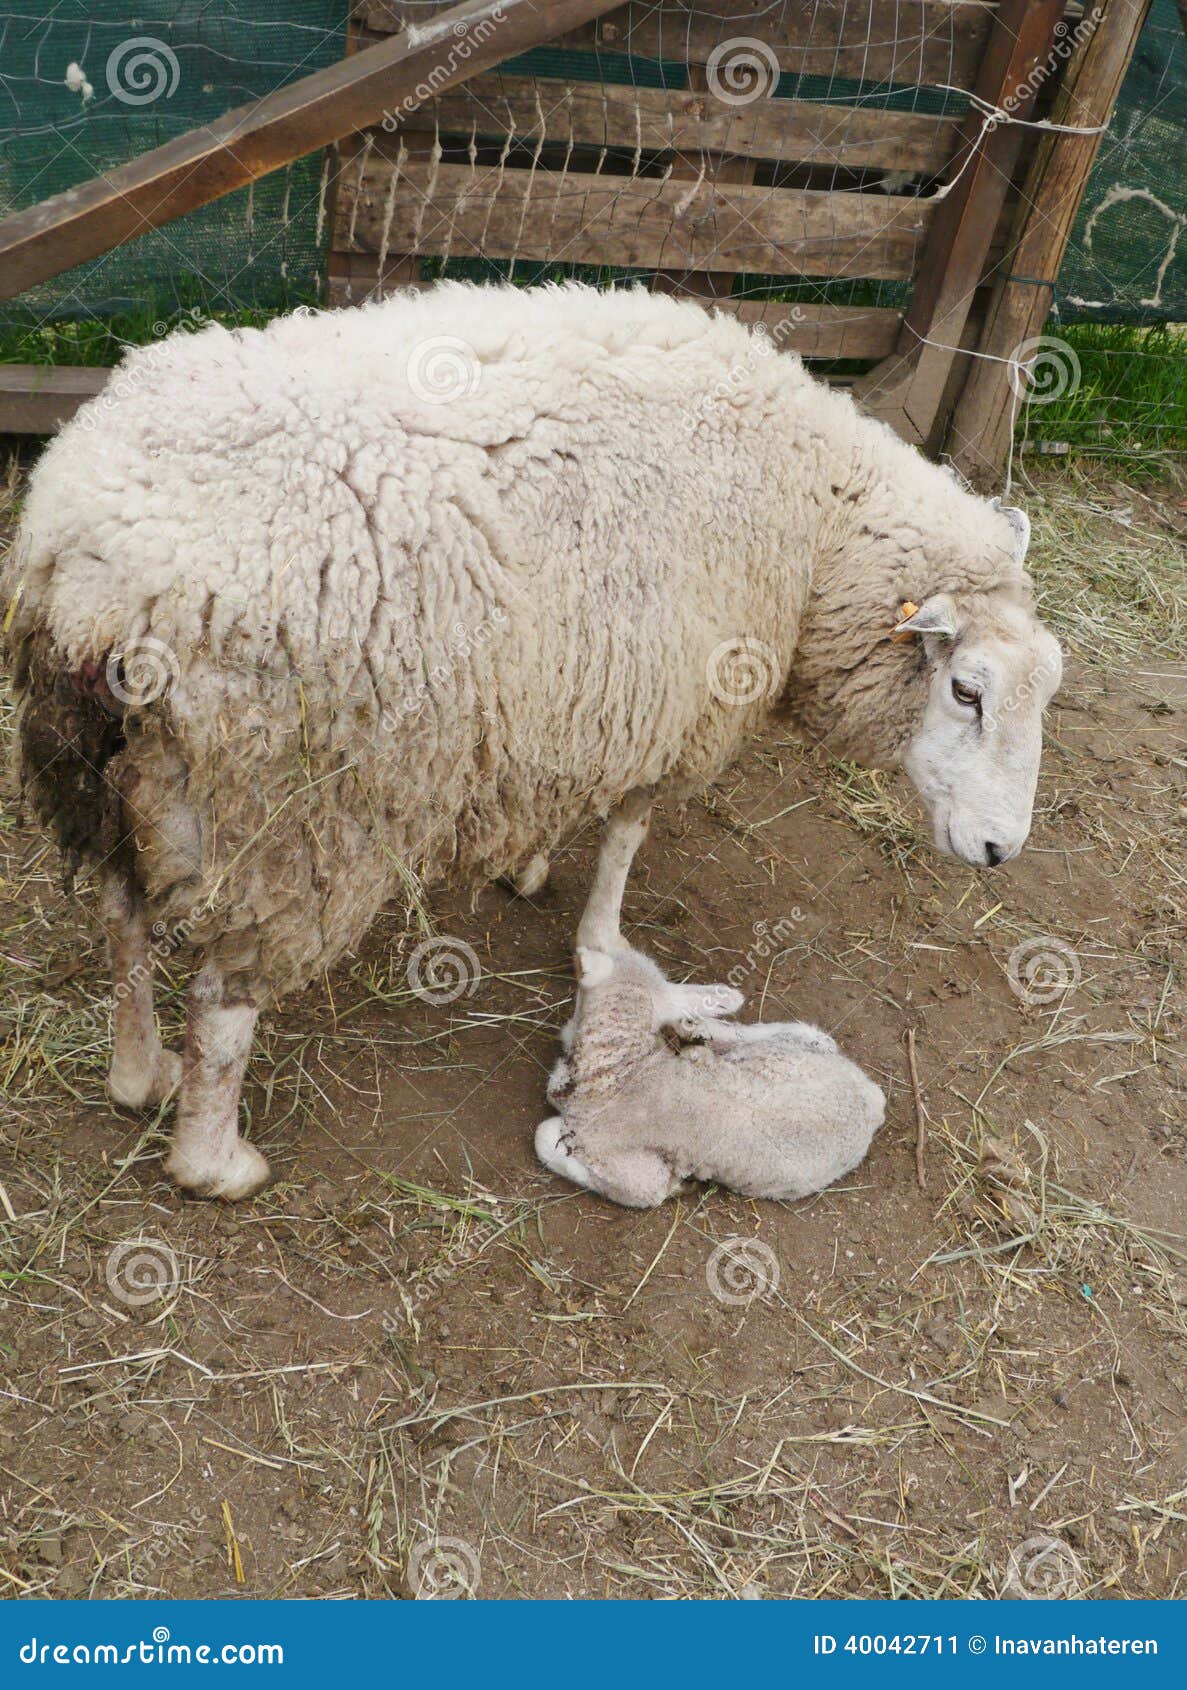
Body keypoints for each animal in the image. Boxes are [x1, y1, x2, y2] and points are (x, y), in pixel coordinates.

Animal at [536, 945, 885, 1207]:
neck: (624, 1070)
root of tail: (873, 1102)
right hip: (785, 1053)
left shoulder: (636, 1173)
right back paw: (697, 1030)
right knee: (811, 1037)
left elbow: (545, 1138)